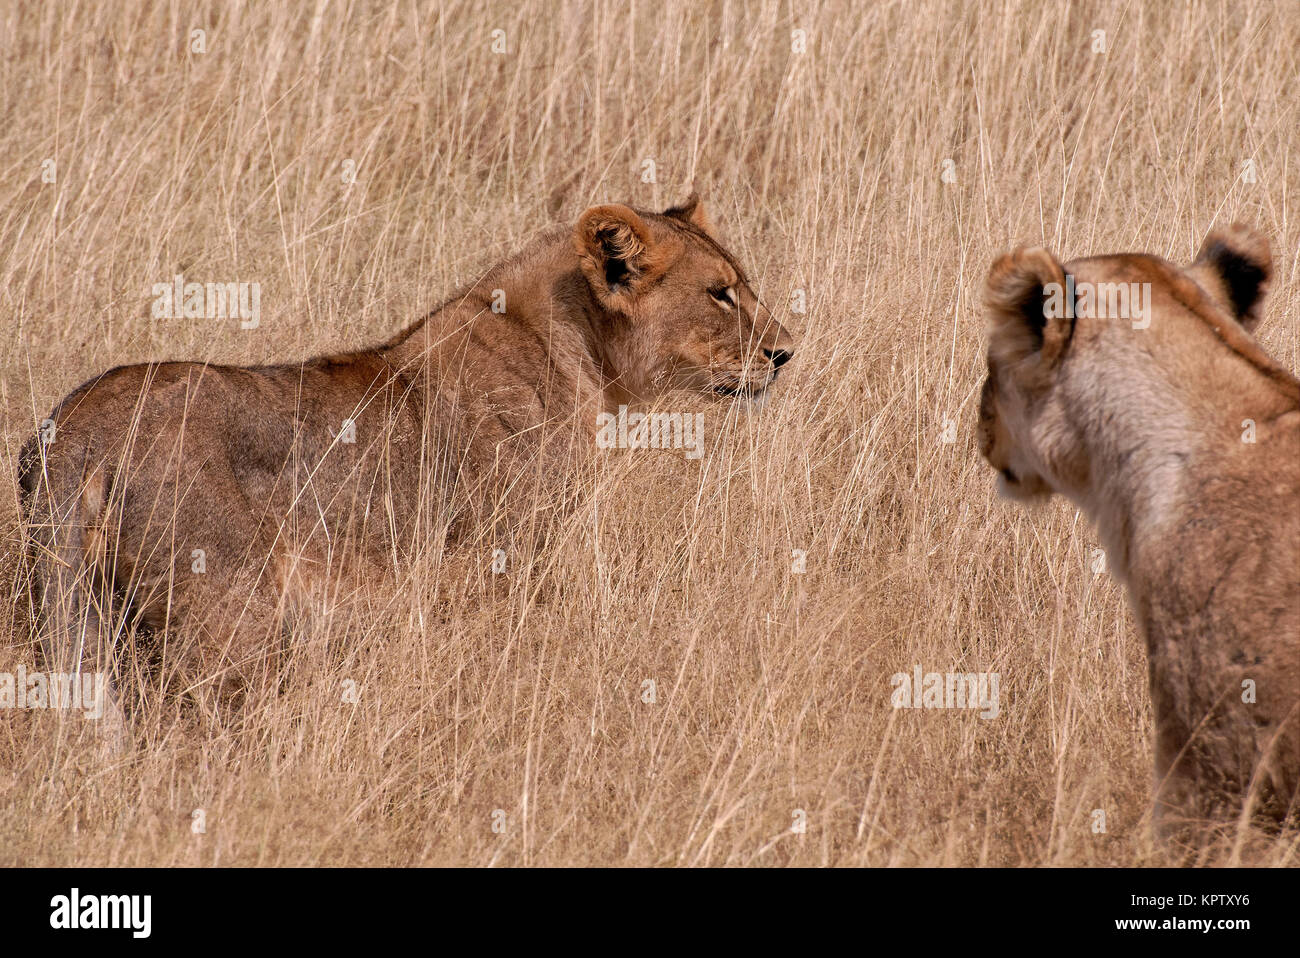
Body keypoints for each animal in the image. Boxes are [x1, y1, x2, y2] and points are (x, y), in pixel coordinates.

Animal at [18, 195, 794, 740]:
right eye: (720, 292)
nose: (786, 352)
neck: (582, 354)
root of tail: (78, 427)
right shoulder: (514, 558)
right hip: (230, 619)